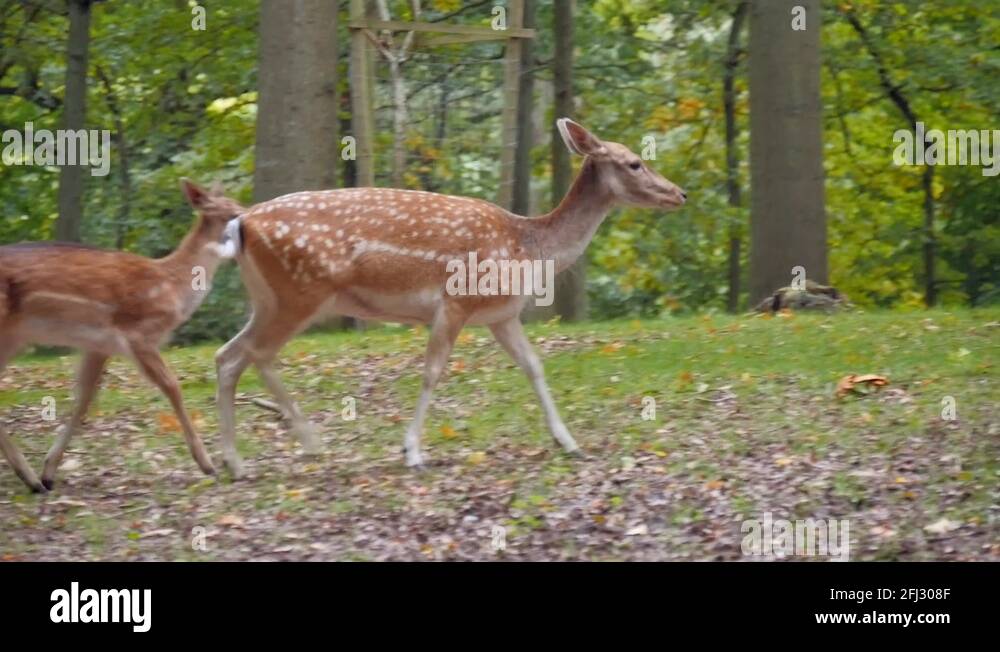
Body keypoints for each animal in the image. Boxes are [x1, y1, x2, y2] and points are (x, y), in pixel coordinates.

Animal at [0, 180, 244, 492]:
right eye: (233, 213)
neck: (172, 286)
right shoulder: (139, 335)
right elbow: (173, 386)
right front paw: (207, 464)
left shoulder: (98, 345)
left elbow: (84, 399)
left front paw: (49, 471)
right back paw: (28, 476)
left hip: (14, 339)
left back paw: (32, 478)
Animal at [215, 119, 686, 477]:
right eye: (635, 162)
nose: (680, 193)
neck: (529, 249)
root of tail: (241, 223)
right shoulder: (456, 301)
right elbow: (432, 372)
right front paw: (412, 451)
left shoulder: (502, 315)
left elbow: (534, 366)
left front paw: (568, 441)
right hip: (300, 292)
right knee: (256, 354)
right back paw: (307, 442)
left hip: (269, 299)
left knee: (228, 355)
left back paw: (232, 462)